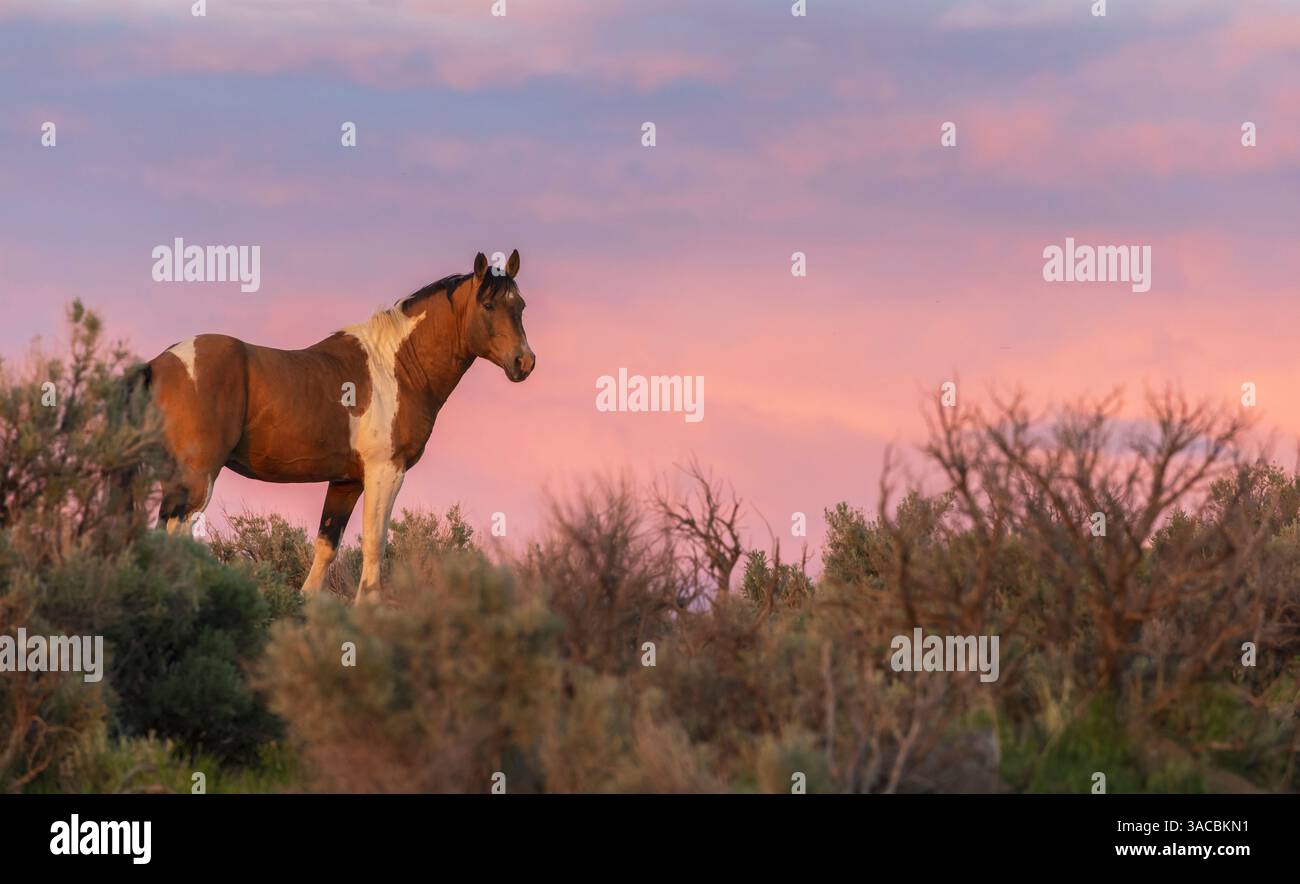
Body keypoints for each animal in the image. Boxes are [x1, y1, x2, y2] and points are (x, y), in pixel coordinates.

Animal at [140, 250, 535, 602]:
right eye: (488, 306)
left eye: (521, 306)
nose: (524, 362)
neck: (396, 368)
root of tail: (161, 363)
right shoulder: (385, 471)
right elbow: (375, 542)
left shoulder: (346, 481)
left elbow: (326, 546)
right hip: (198, 478)